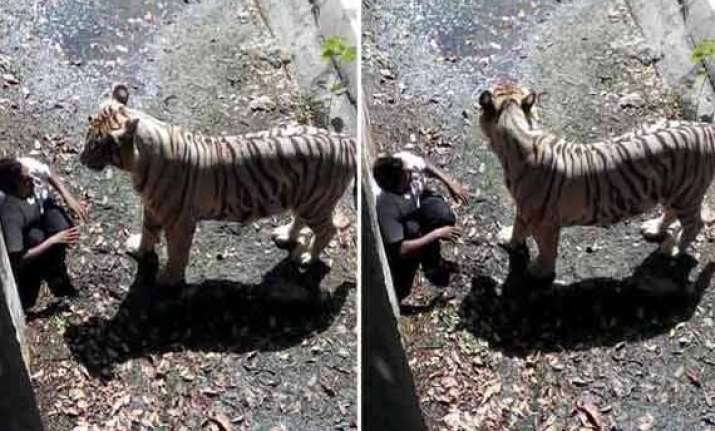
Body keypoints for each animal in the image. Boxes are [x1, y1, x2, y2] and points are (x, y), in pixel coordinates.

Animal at [80, 84, 356, 286]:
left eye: (96, 145)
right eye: (88, 128)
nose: (81, 158)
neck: (139, 163)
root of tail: (345, 140)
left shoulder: (179, 221)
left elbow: (177, 252)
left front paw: (169, 279)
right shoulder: (151, 206)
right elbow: (148, 231)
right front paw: (139, 249)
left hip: (317, 203)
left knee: (328, 230)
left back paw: (306, 256)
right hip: (302, 198)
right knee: (301, 220)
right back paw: (286, 235)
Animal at [478, 83, 715, 280]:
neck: (516, 127)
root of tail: (705, 127)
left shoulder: (545, 222)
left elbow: (547, 249)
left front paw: (539, 271)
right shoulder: (524, 208)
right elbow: (518, 227)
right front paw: (509, 239)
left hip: (687, 193)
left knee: (695, 224)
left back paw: (673, 249)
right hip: (671, 190)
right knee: (671, 213)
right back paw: (654, 229)